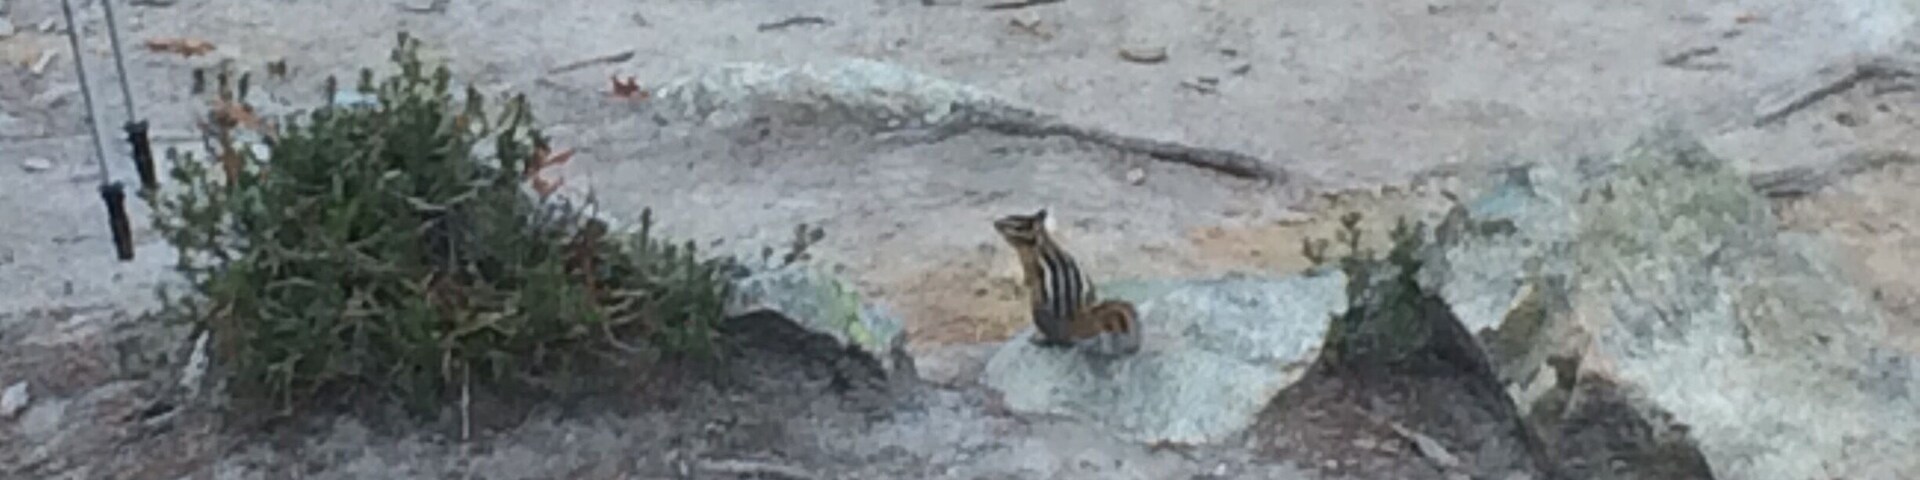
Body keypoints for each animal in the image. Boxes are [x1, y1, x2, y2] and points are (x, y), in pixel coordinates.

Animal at [991, 208, 1142, 356]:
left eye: (1015, 225)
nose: (995, 223)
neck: (1040, 243)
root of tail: (1076, 322)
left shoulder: (1029, 264)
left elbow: (1028, 279)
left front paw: (1024, 284)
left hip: (1038, 311)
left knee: (1059, 340)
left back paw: (1041, 338)